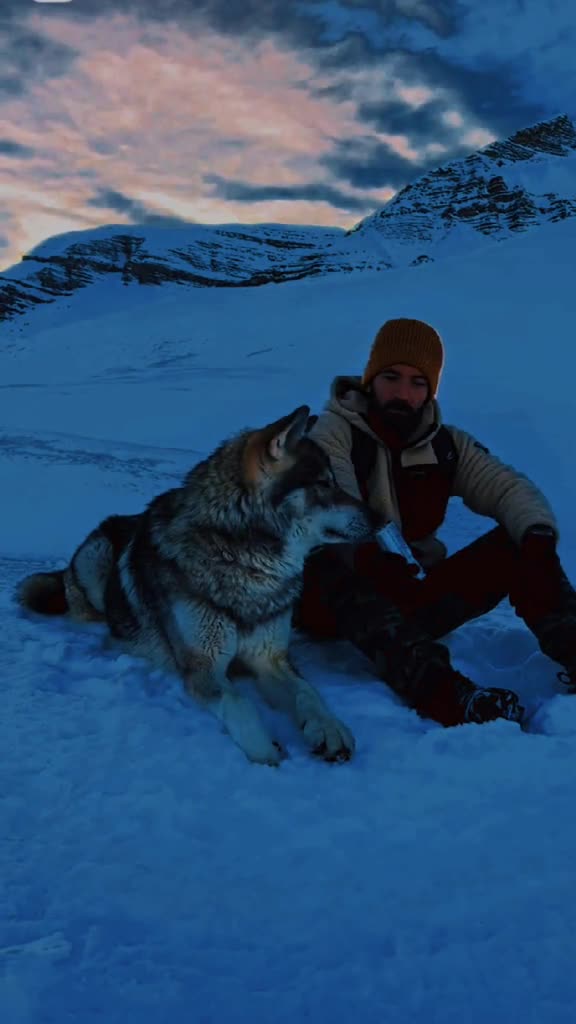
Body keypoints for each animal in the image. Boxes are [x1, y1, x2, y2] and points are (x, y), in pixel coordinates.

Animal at [17, 405, 377, 766]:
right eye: (325, 483)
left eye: (334, 481)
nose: (379, 518)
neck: (245, 564)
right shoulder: (204, 666)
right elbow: (240, 704)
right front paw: (265, 751)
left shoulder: (270, 659)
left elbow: (308, 693)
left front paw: (329, 729)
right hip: (97, 559)